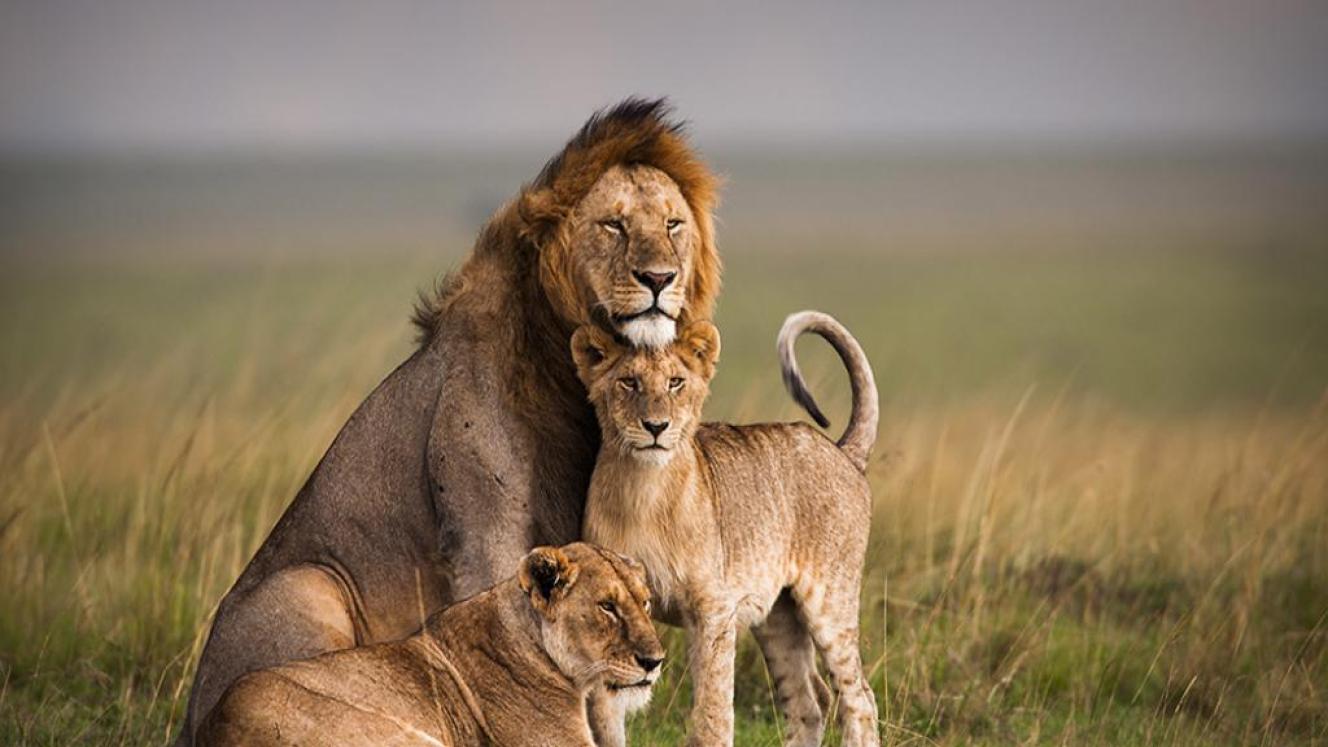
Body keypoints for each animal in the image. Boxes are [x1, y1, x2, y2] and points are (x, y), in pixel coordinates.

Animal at [572, 311, 881, 747]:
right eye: (628, 382)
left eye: (675, 382)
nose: (655, 426)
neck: (643, 489)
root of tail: (842, 451)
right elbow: (605, 718)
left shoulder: (713, 609)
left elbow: (712, 713)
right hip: (777, 617)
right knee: (809, 702)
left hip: (830, 601)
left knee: (859, 699)